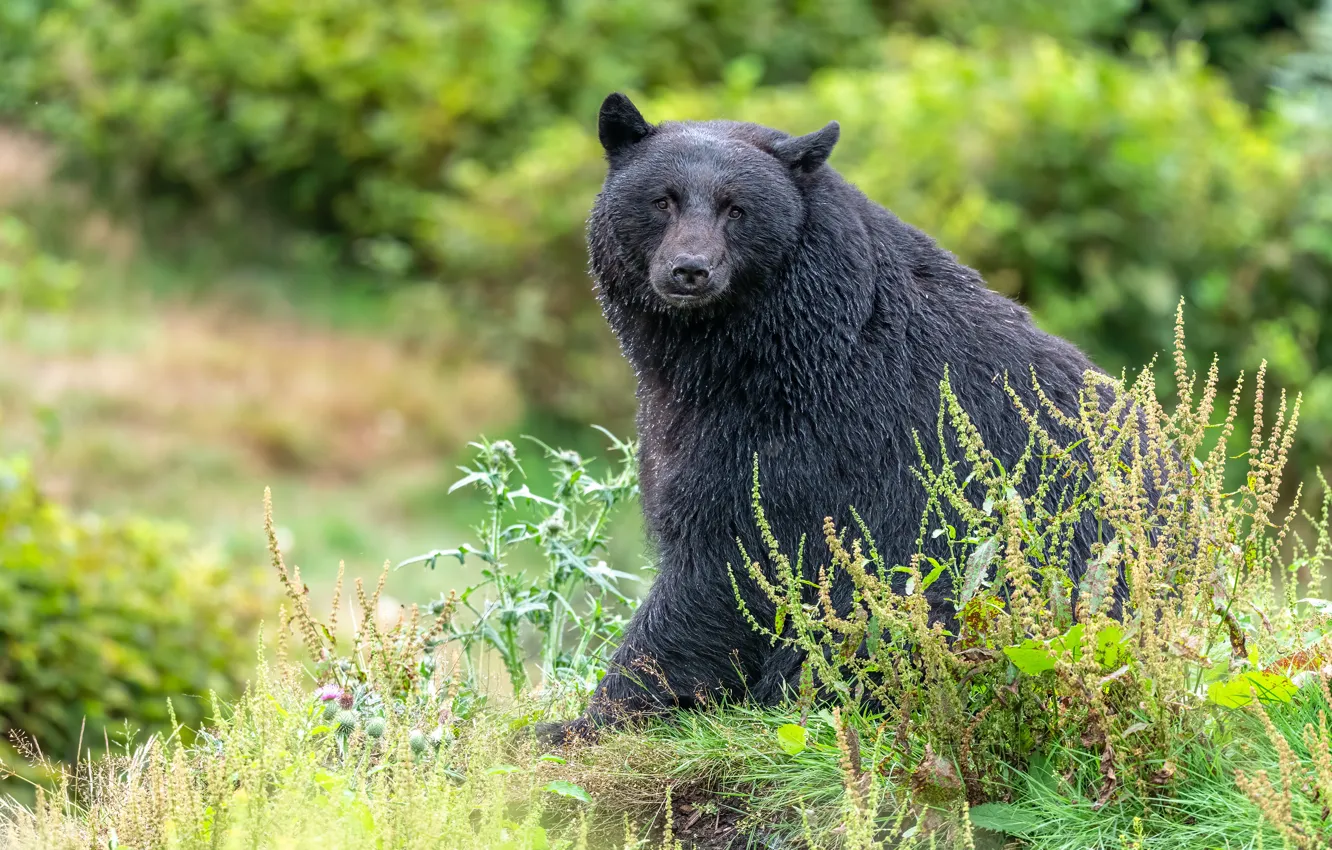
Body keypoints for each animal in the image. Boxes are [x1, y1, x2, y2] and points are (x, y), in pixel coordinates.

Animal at [538, 92, 1115, 744]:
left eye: (737, 208)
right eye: (662, 199)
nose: (690, 270)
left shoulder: (808, 434)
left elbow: (728, 562)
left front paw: (584, 718)